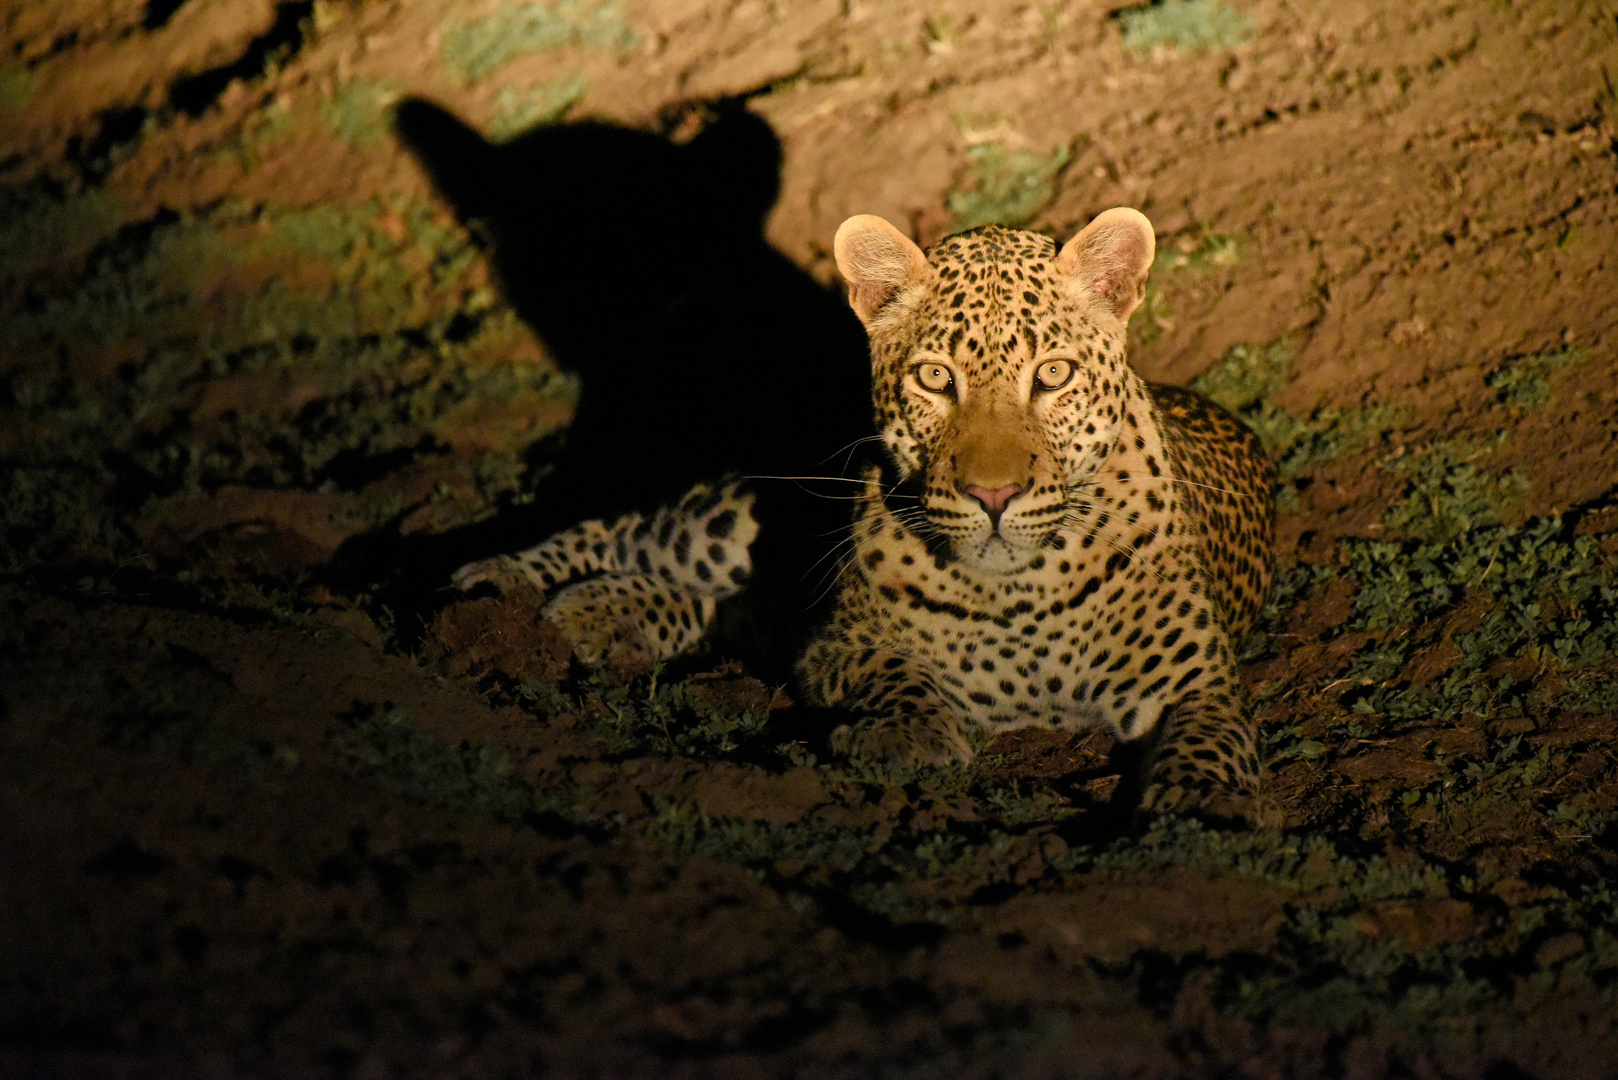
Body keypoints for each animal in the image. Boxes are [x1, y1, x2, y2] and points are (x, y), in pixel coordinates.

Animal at [794, 208, 1275, 816]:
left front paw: (1204, 798)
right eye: (935, 378)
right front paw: (904, 737)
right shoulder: (832, 647)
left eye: (1052, 375)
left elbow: (1209, 740)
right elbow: (890, 667)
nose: (995, 495)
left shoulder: (1199, 678)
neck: (1017, 599)